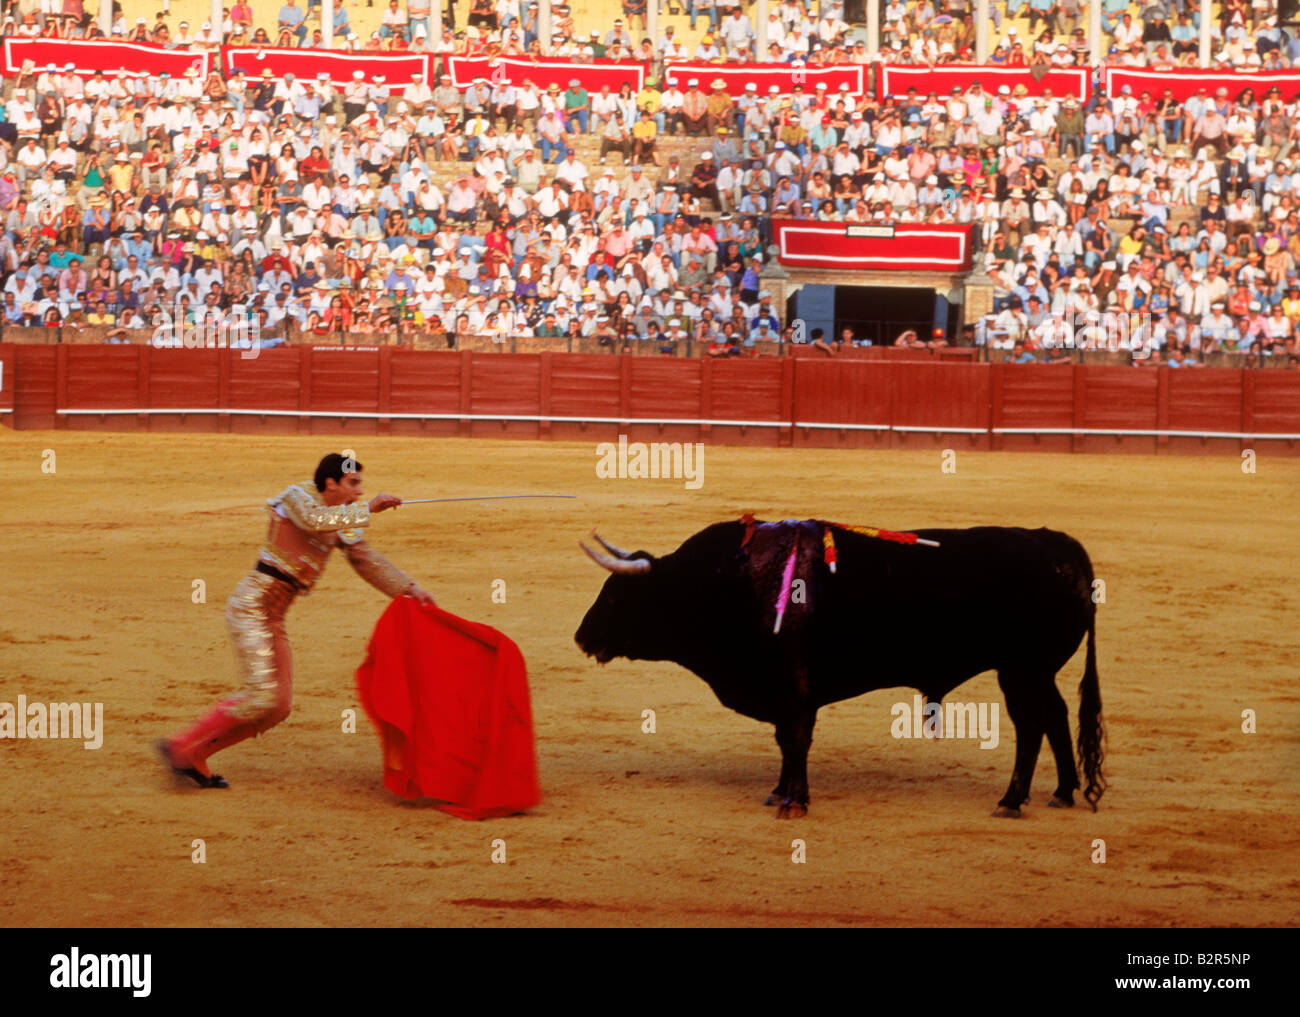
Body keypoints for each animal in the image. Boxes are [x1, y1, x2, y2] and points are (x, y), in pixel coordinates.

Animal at [574, 519, 1106, 819]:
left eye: (617, 595)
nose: (581, 637)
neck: (731, 579)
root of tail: (1061, 547)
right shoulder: (790, 691)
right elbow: (788, 741)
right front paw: (779, 792)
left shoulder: (792, 684)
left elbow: (794, 738)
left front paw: (794, 802)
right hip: (1039, 671)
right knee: (1057, 716)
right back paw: (1062, 792)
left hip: (1021, 670)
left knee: (1032, 725)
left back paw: (1012, 800)